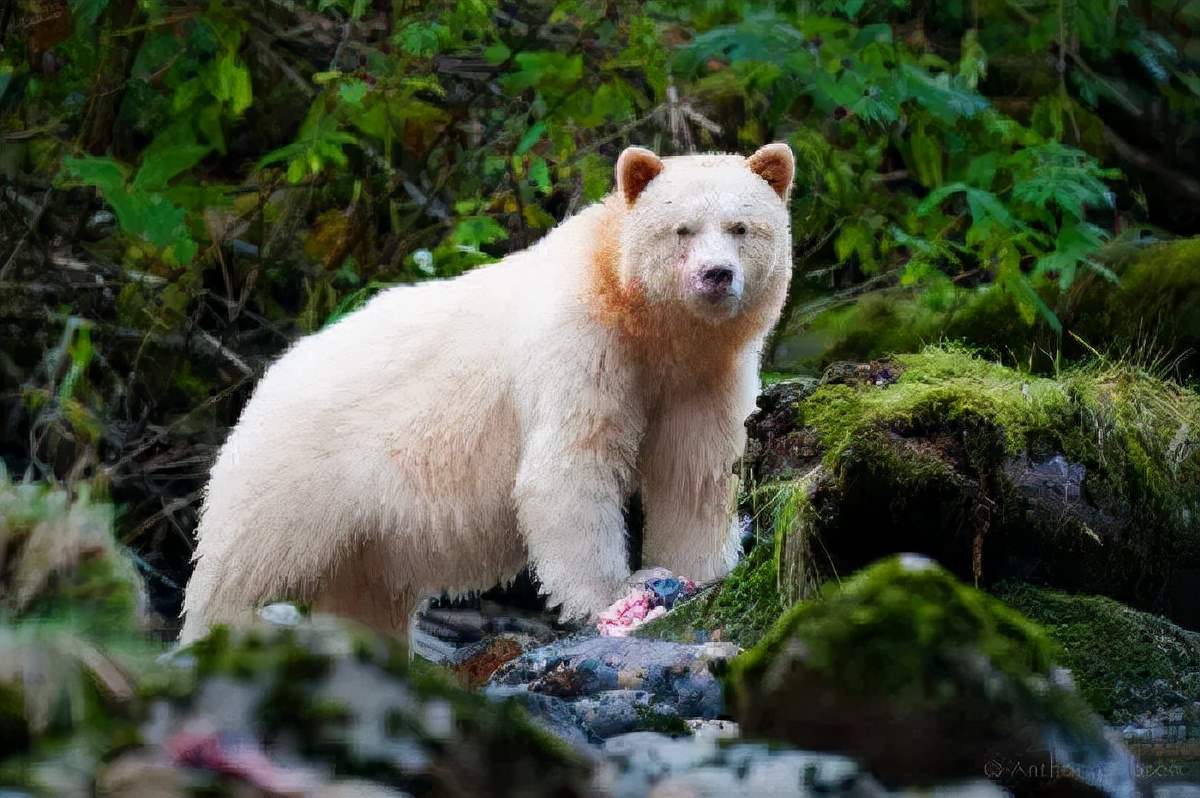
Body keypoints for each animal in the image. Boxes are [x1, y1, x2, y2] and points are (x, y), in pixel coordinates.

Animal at [178, 143, 795, 645]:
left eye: (741, 227)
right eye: (682, 229)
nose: (716, 275)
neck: (642, 319)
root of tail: (265, 383)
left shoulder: (704, 374)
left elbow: (695, 468)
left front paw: (698, 573)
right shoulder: (581, 348)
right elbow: (570, 467)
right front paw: (614, 597)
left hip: (364, 534)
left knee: (365, 598)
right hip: (296, 483)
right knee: (242, 580)